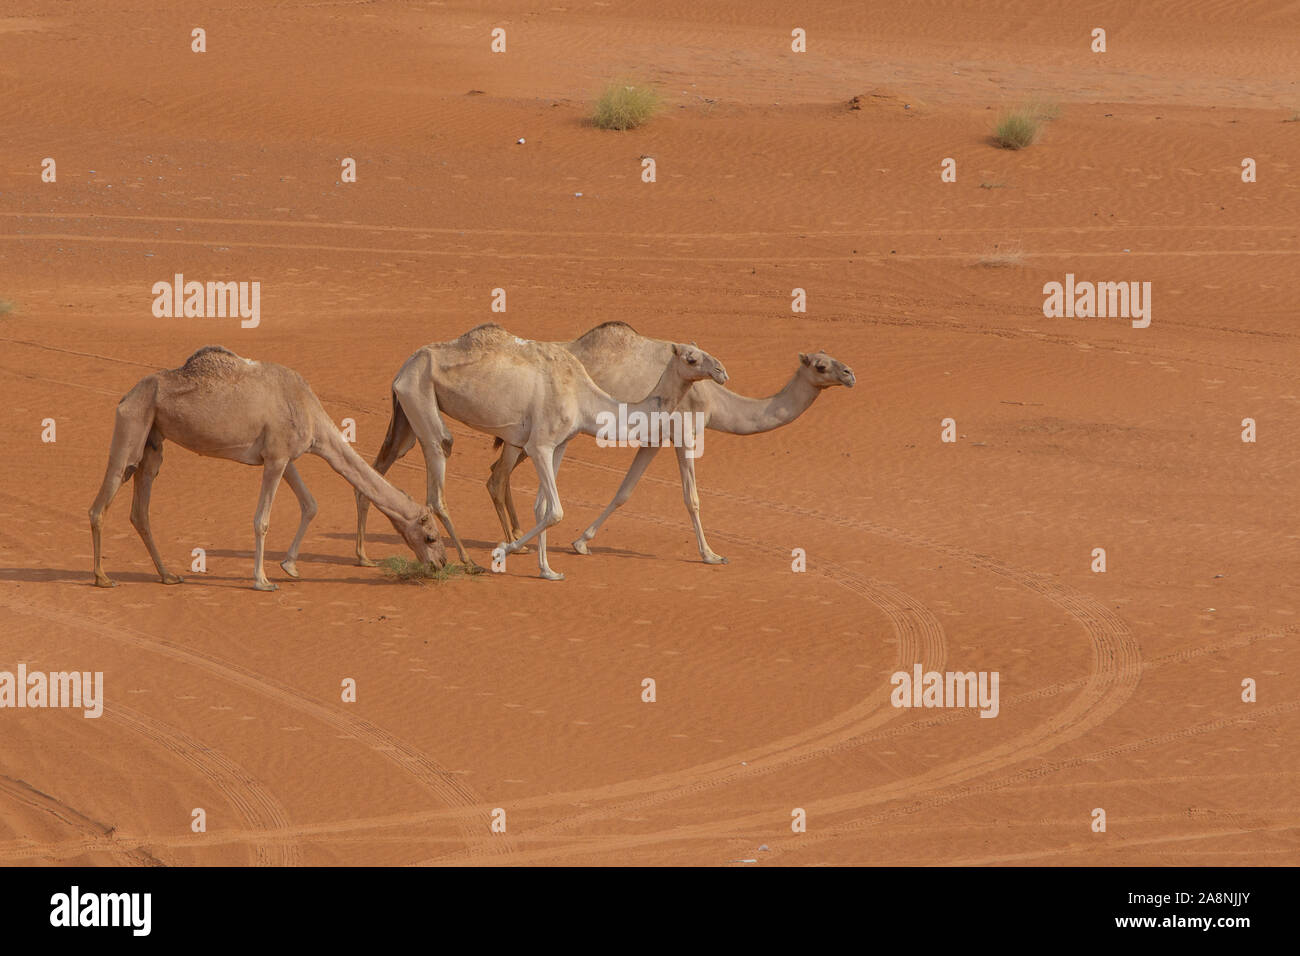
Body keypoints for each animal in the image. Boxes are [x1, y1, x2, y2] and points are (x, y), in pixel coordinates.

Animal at [89, 346, 446, 591]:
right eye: (430, 536)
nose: (442, 563)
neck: (311, 413)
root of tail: (127, 395)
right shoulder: (275, 458)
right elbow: (262, 520)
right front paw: (262, 580)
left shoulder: (286, 457)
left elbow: (310, 504)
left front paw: (290, 566)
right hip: (132, 425)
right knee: (103, 500)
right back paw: (102, 577)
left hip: (154, 438)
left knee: (140, 510)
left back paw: (167, 575)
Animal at [353, 323, 728, 580]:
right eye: (692, 358)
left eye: (707, 352)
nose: (721, 370)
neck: (584, 397)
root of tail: (404, 366)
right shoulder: (540, 444)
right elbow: (556, 510)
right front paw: (504, 550)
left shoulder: (558, 444)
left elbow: (543, 507)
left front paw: (547, 570)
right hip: (421, 400)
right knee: (438, 478)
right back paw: (467, 562)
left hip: (405, 413)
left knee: (376, 470)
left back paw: (362, 556)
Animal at [486, 322, 854, 564]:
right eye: (821, 365)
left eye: (831, 356)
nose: (850, 373)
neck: (714, 401)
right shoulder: (683, 433)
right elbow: (691, 498)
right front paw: (710, 554)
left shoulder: (654, 439)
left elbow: (624, 492)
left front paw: (582, 541)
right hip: (523, 429)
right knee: (498, 476)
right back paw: (514, 544)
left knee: (497, 473)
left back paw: (517, 538)